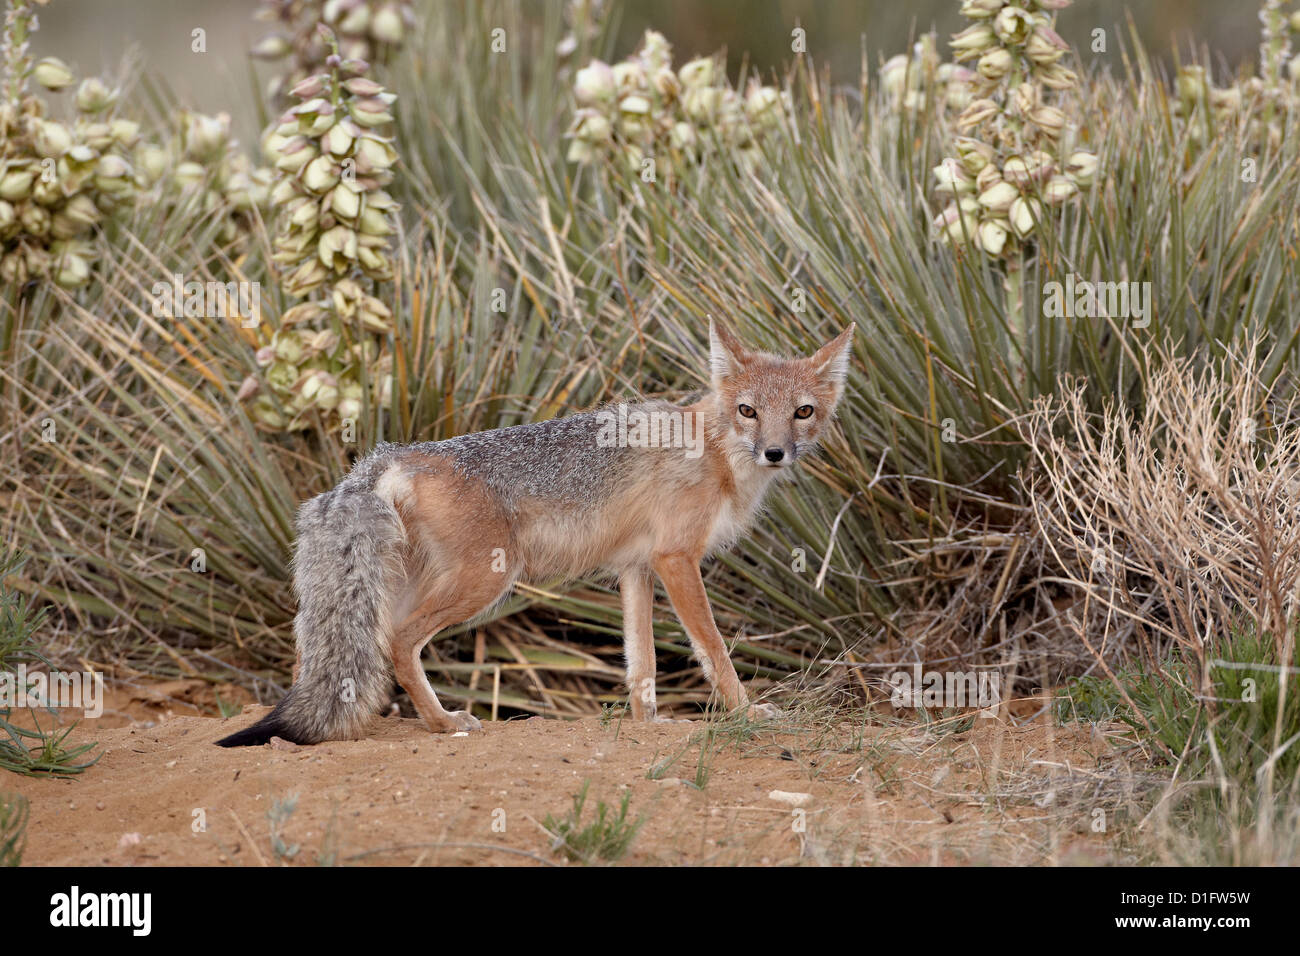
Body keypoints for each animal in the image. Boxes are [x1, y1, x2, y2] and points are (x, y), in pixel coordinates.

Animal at [216, 320, 855, 746]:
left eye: (801, 412)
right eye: (748, 410)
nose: (775, 452)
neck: (717, 455)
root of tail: (391, 454)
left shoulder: (637, 567)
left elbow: (641, 662)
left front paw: (648, 724)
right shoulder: (677, 559)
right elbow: (714, 649)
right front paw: (746, 713)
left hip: (407, 586)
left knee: (341, 649)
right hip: (485, 581)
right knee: (397, 641)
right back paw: (443, 722)